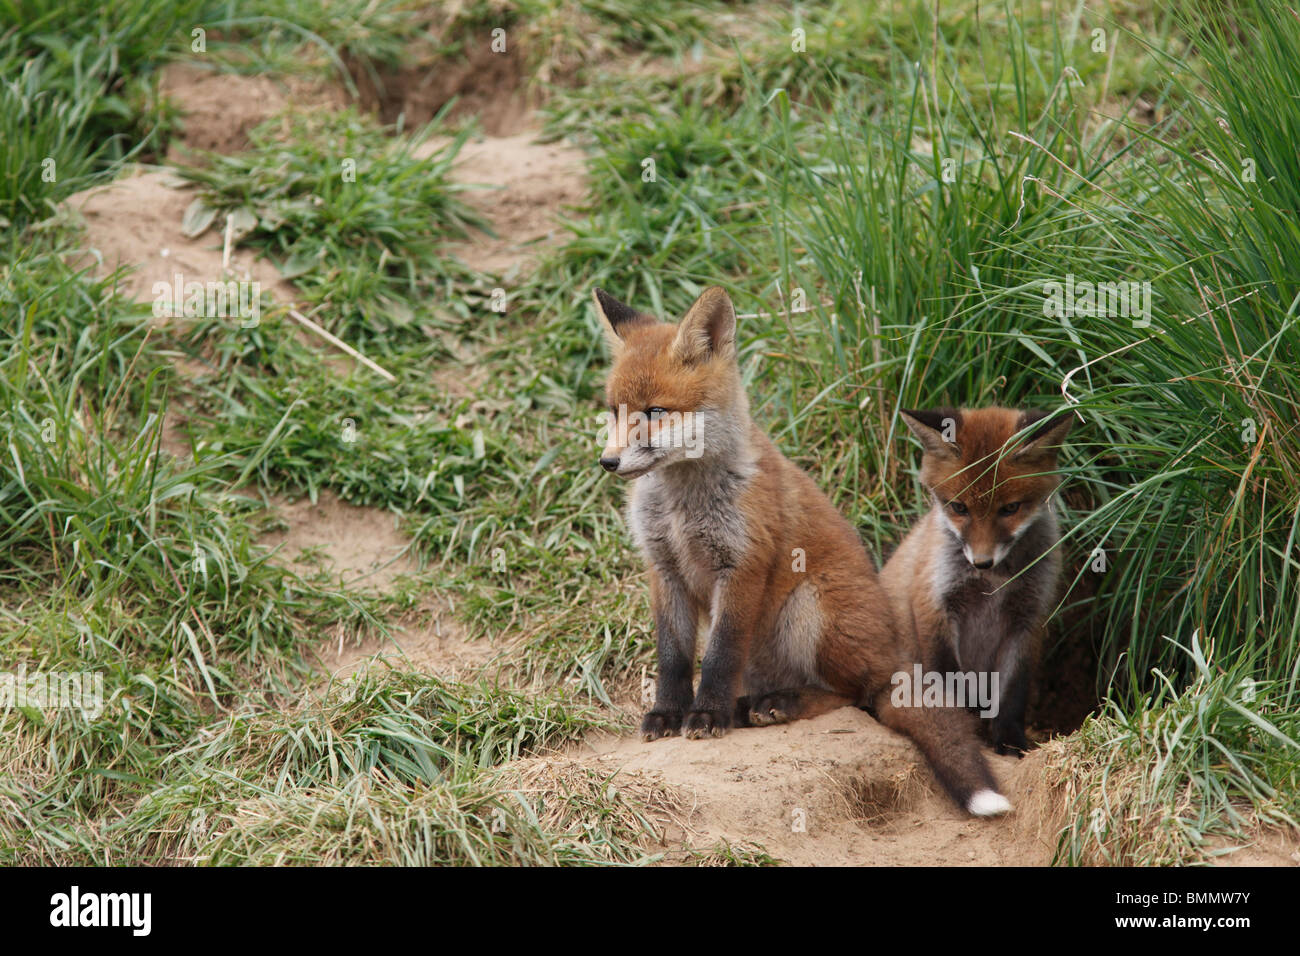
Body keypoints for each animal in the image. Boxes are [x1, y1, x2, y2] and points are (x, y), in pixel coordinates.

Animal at [593, 285, 1011, 816]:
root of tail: (893, 658)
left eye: (654, 413)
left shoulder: (742, 564)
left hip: (810, 607)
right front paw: (668, 713)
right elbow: (674, 655)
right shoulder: (663, 567)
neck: (682, 504)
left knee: (853, 695)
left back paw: (775, 705)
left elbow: (720, 654)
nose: (607, 462)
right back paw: (750, 705)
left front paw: (706, 714)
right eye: (614, 412)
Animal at [881, 406, 1072, 756]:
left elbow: (1012, 693)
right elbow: (949, 679)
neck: (993, 582)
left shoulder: (1028, 616)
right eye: (959, 507)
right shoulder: (935, 601)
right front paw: (965, 729)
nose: (982, 562)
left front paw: (1009, 741)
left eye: (1010, 508)